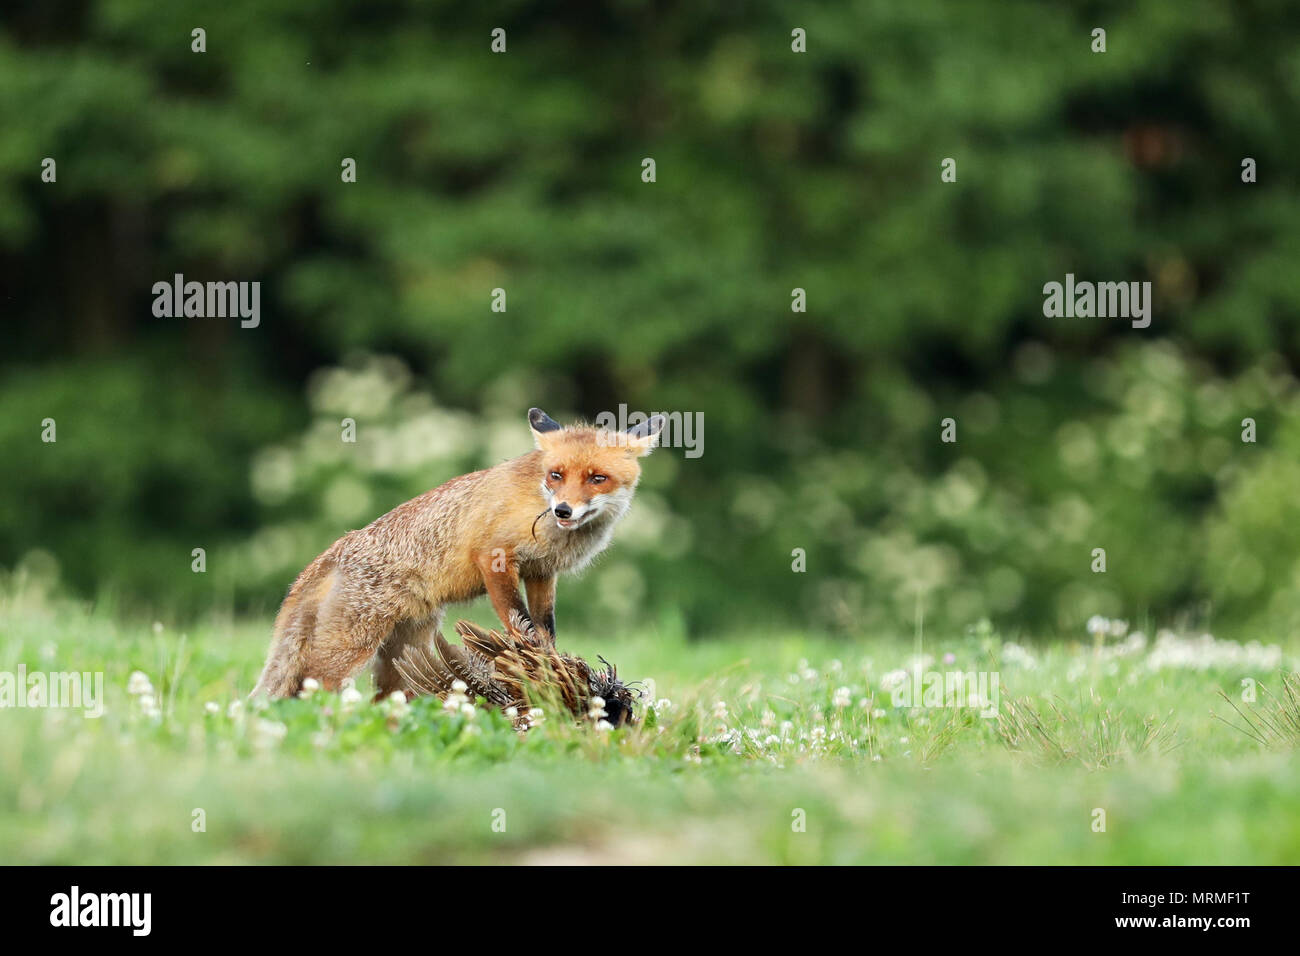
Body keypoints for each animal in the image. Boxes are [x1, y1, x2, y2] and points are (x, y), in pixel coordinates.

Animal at [251, 407, 665, 699]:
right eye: (556, 475)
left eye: (597, 478)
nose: (563, 510)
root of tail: (337, 549)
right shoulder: (494, 556)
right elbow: (517, 618)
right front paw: (534, 663)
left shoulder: (541, 572)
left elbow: (545, 626)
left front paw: (550, 660)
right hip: (351, 647)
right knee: (311, 684)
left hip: (404, 656)